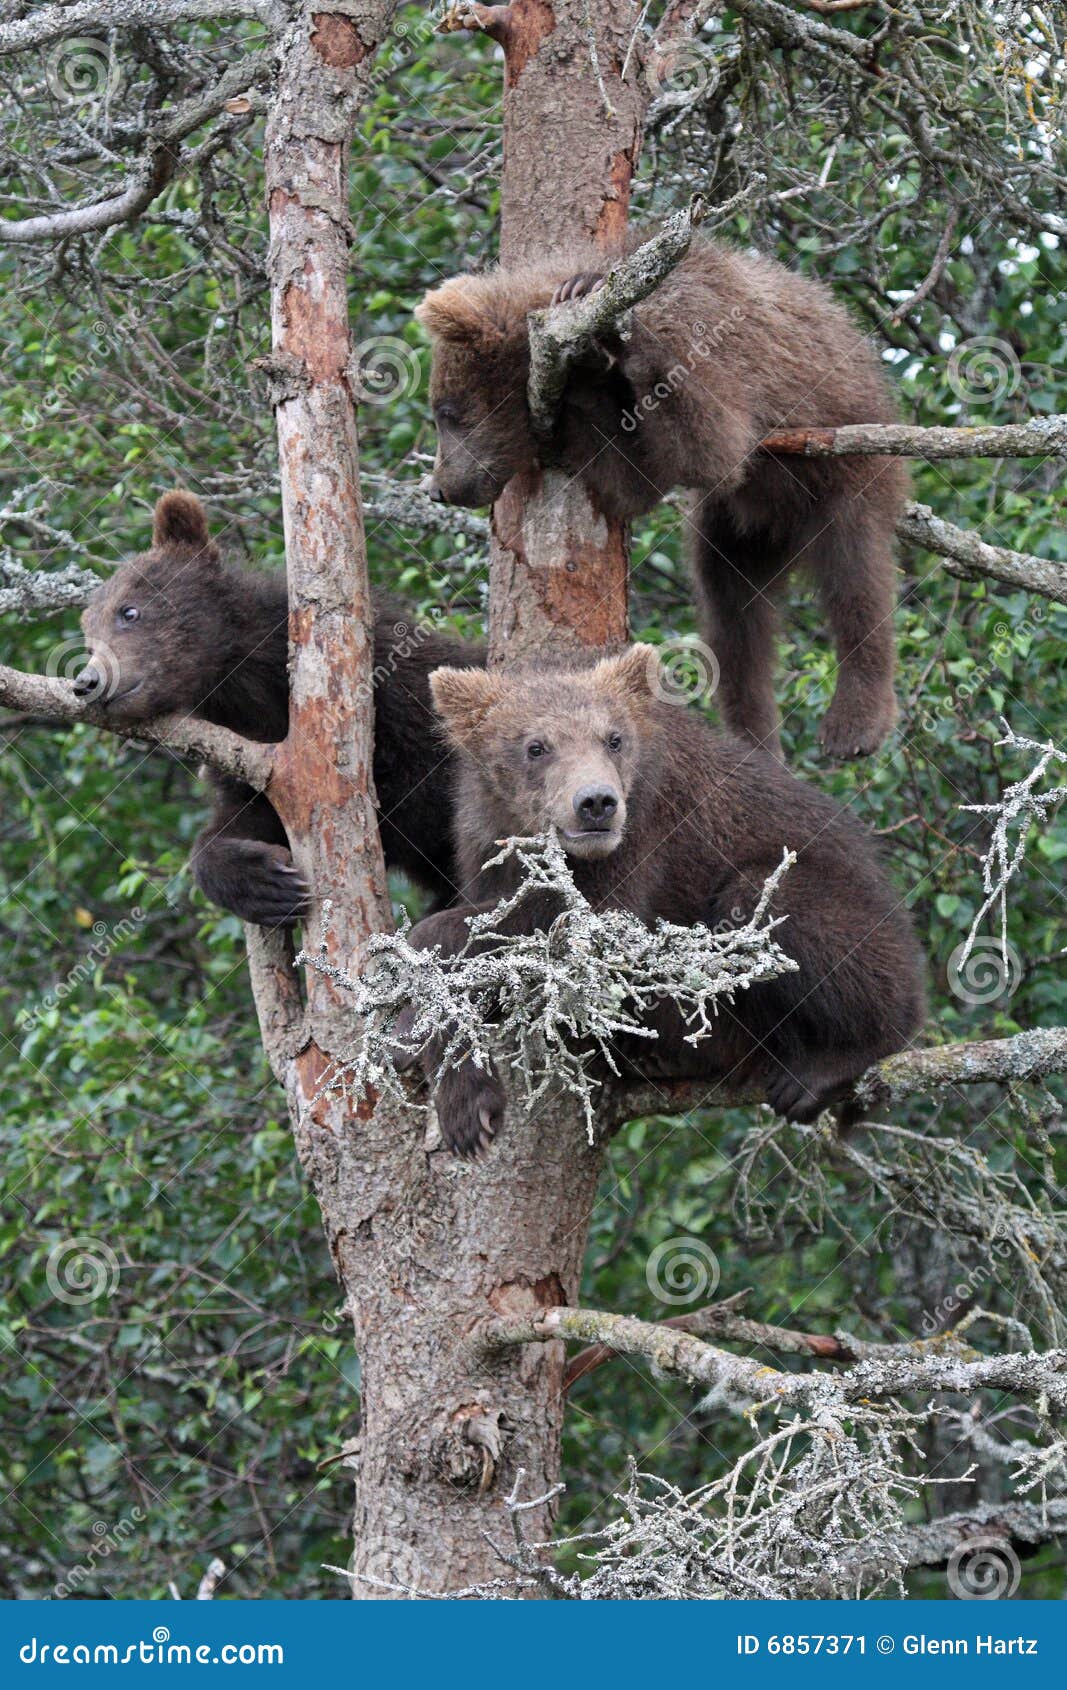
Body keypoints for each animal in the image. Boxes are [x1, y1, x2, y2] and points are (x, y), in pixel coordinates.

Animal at [75, 491, 486, 926]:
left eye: (129, 611)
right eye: (88, 633)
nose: (88, 682)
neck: (251, 686)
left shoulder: (409, 707)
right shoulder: (256, 753)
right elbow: (241, 821)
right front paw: (267, 881)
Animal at [393, 646, 926, 1156]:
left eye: (613, 739)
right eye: (535, 747)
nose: (596, 803)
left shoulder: (643, 834)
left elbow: (567, 927)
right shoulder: (482, 845)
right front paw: (459, 1092)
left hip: (841, 909)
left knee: (781, 907)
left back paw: (832, 1063)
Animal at [415, 236, 908, 763]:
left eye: (447, 413)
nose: (439, 488)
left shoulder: (712, 345)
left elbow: (711, 444)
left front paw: (611, 325)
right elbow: (628, 482)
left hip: (847, 465)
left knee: (856, 576)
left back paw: (854, 724)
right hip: (735, 524)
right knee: (731, 611)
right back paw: (753, 740)